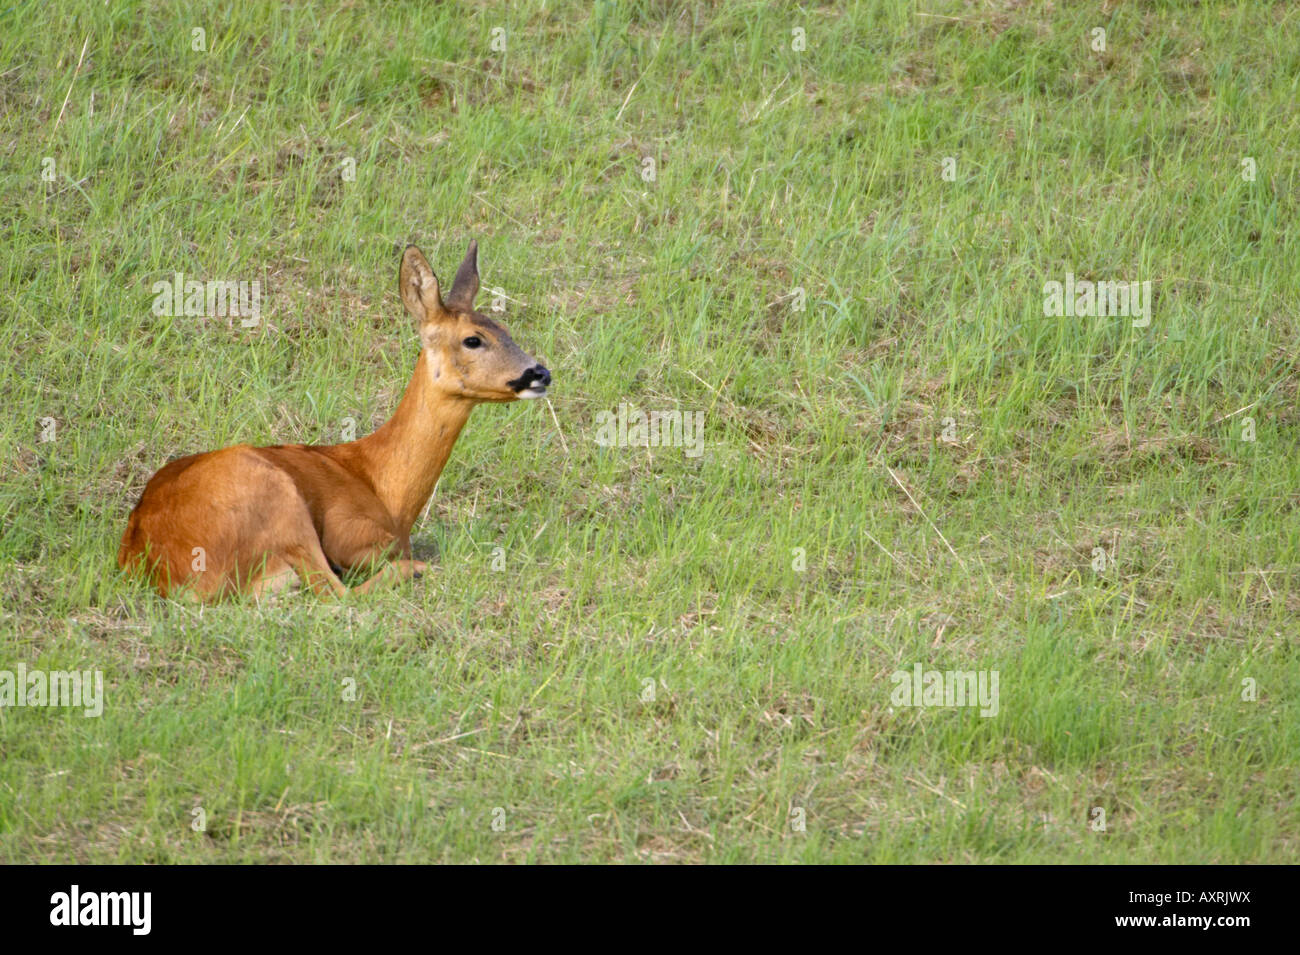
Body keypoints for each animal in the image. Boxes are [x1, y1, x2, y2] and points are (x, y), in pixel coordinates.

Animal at [117, 241, 551, 600]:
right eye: (473, 339)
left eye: (507, 330)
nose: (540, 373)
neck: (385, 487)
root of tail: (172, 576)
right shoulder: (352, 534)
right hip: (281, 502)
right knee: (337, 595)